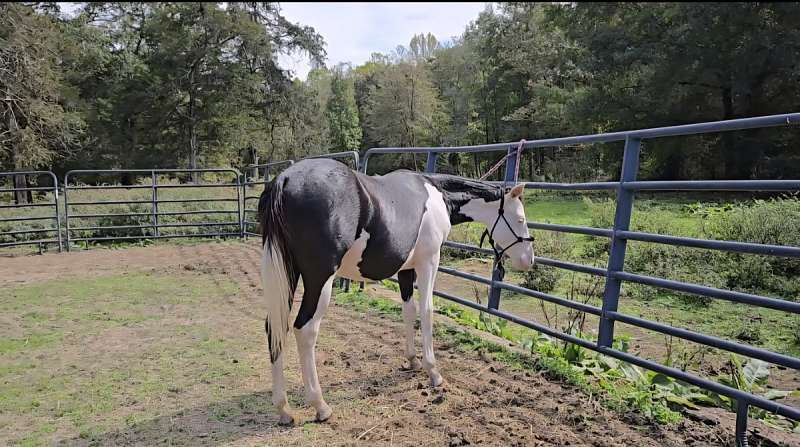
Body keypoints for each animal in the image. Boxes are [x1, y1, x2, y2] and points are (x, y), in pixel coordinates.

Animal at [257, 158, 534, 424]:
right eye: (520, 219)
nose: (529, 260)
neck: (437, 194)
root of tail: (284, 180)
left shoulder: (406, 269)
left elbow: (408, 310)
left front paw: (412, 360)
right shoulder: (428, 262)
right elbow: (427, 311)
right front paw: (433, 371)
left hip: (287, 274)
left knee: (275, 327)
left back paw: (284, 409)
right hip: (319, 280)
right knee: (305, 330)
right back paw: (320, 406)